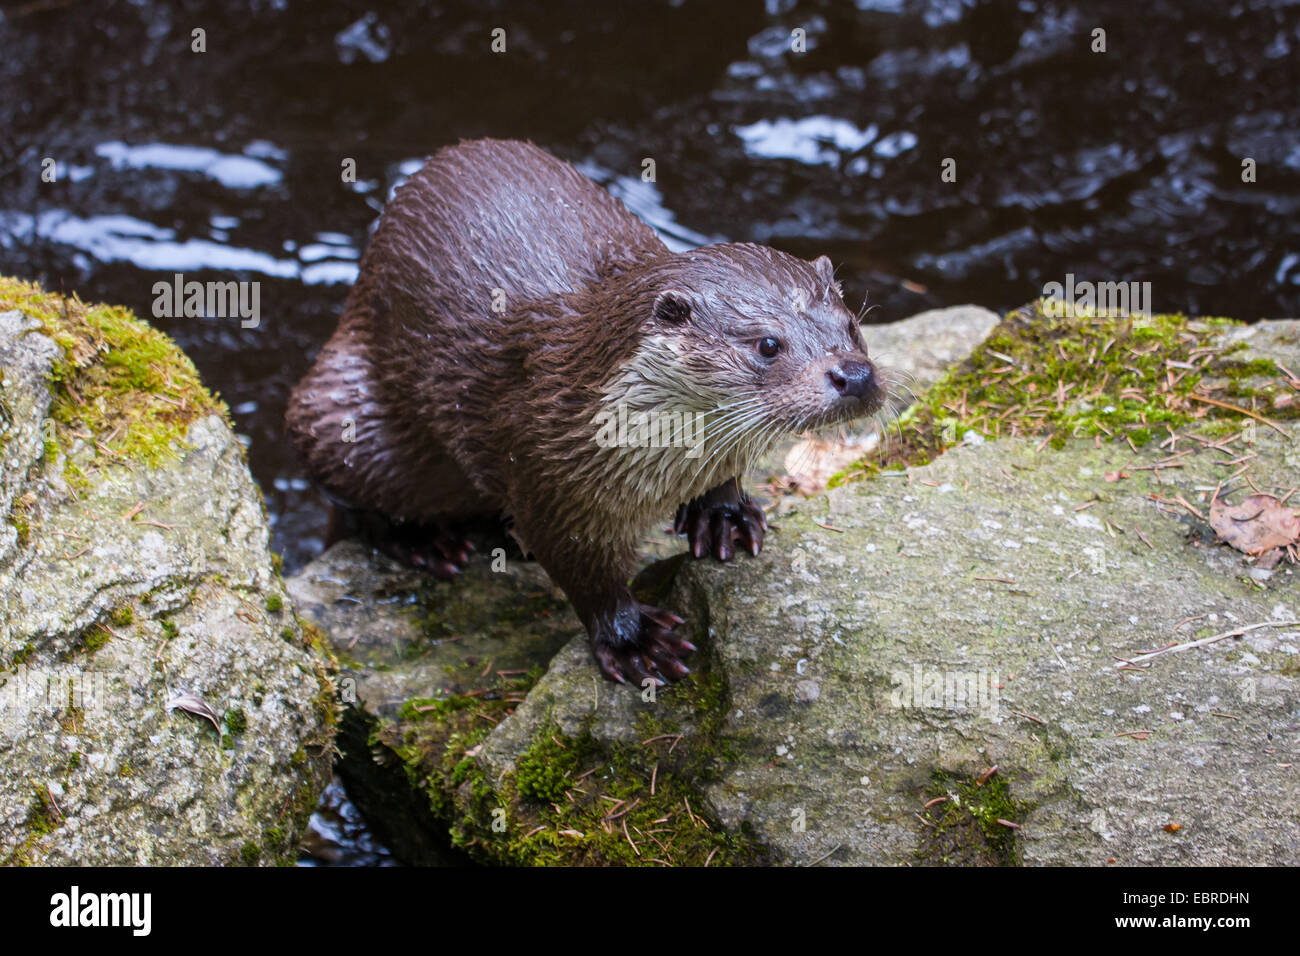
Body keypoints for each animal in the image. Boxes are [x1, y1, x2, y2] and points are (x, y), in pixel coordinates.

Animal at [287, 139, 885, 685]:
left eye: (851, 325)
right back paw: (427, 544)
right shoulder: (545, 474)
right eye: (767, 344)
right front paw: (634, 640)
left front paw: (724, 514)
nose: (854, 375)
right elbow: (584, 575)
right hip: (344, 408)